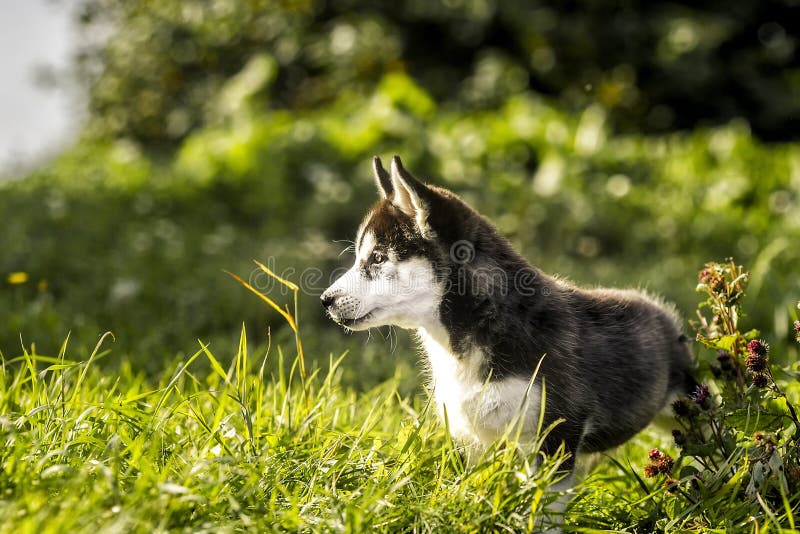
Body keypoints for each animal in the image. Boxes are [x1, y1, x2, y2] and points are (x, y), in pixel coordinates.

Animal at [320, 155, 695, 514]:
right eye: (362, 257)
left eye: (377, 258)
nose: (326, 300)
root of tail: (661, 310)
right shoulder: (472, 439)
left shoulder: (557, 435)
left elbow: (543, 513)